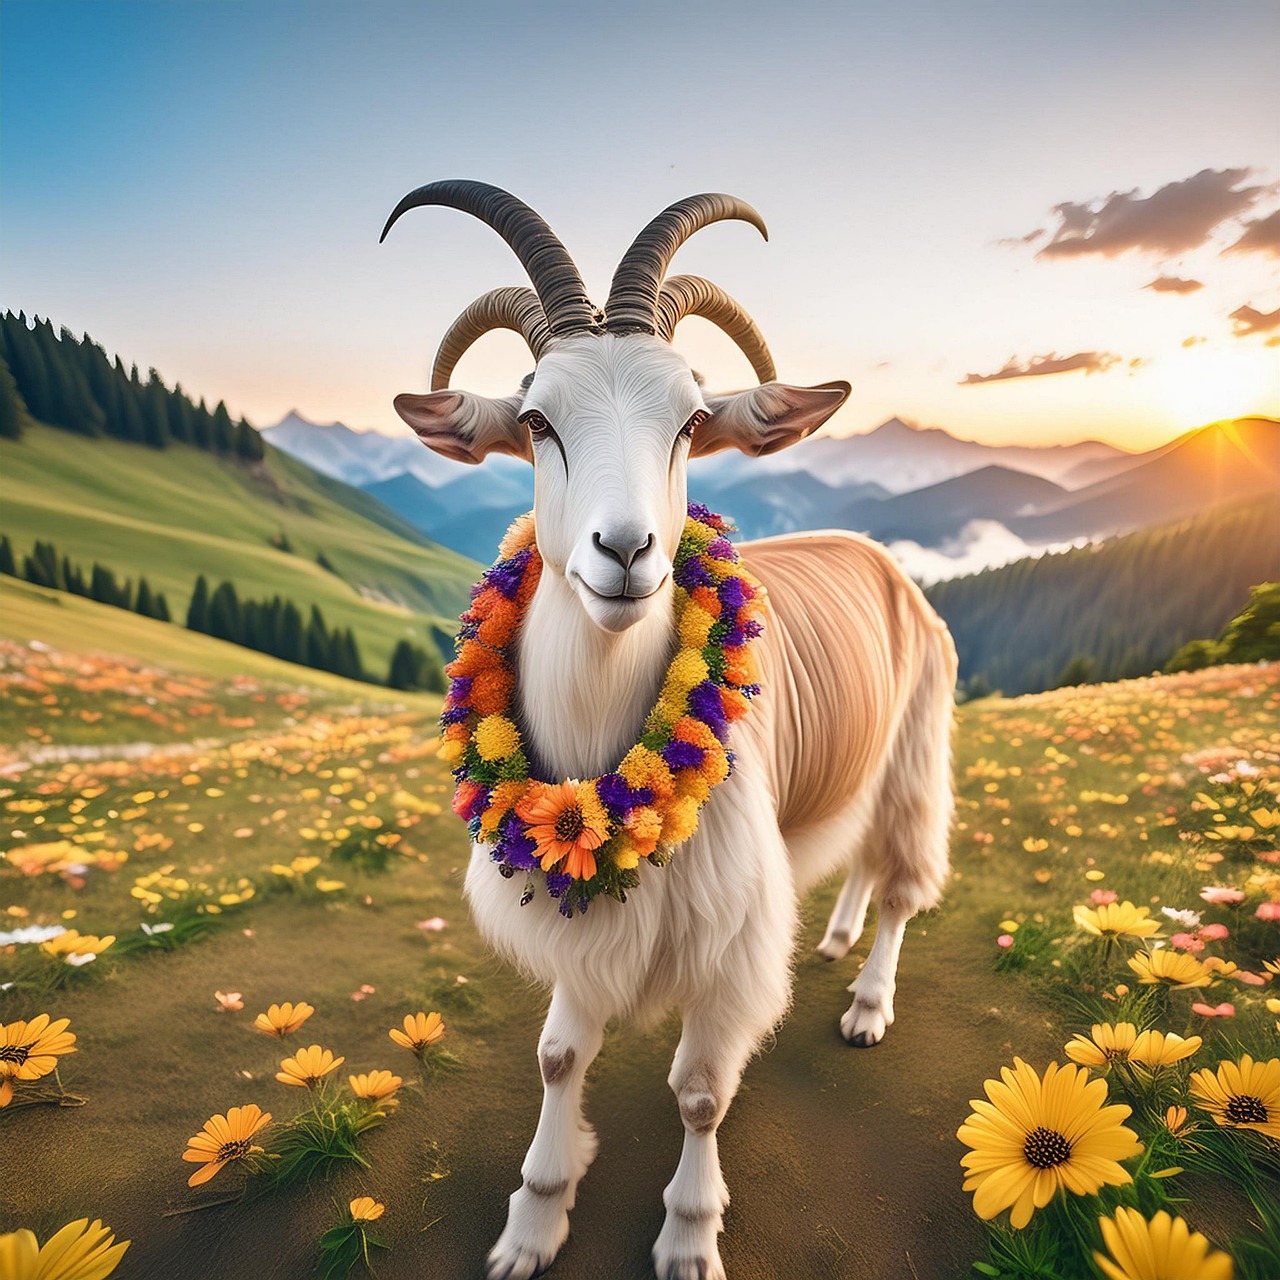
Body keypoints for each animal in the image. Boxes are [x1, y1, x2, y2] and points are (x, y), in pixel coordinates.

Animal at [381, 181, 957, 1280]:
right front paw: (532, 1224)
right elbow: (557, 1054)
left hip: (915, 749)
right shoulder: (573, 918)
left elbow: (697, 1092)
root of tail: (877, 554)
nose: (626, 551)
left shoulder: (730, 935)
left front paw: (688, 1238)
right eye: (534, 419)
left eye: (692, 419)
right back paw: (834, 932)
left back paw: (866, 1001)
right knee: (857, 858)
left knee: (903, 877)